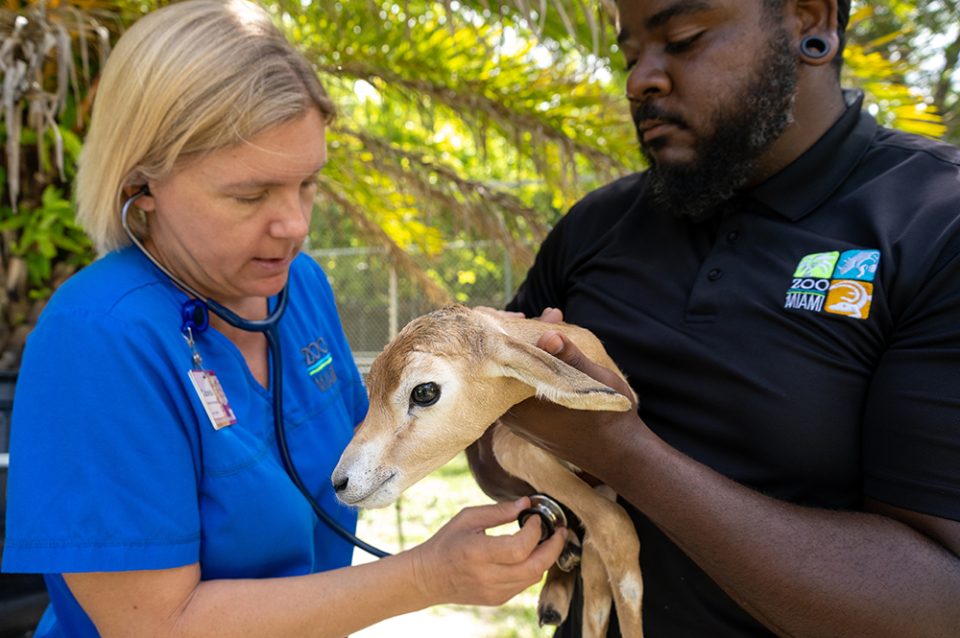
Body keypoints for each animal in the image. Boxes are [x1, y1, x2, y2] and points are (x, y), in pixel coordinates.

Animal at [332, 304, 643, 638]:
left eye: (424, 391)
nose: (340, 482)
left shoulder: (605, 482)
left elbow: (610, 544)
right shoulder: (514, 449)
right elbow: (610, 536)